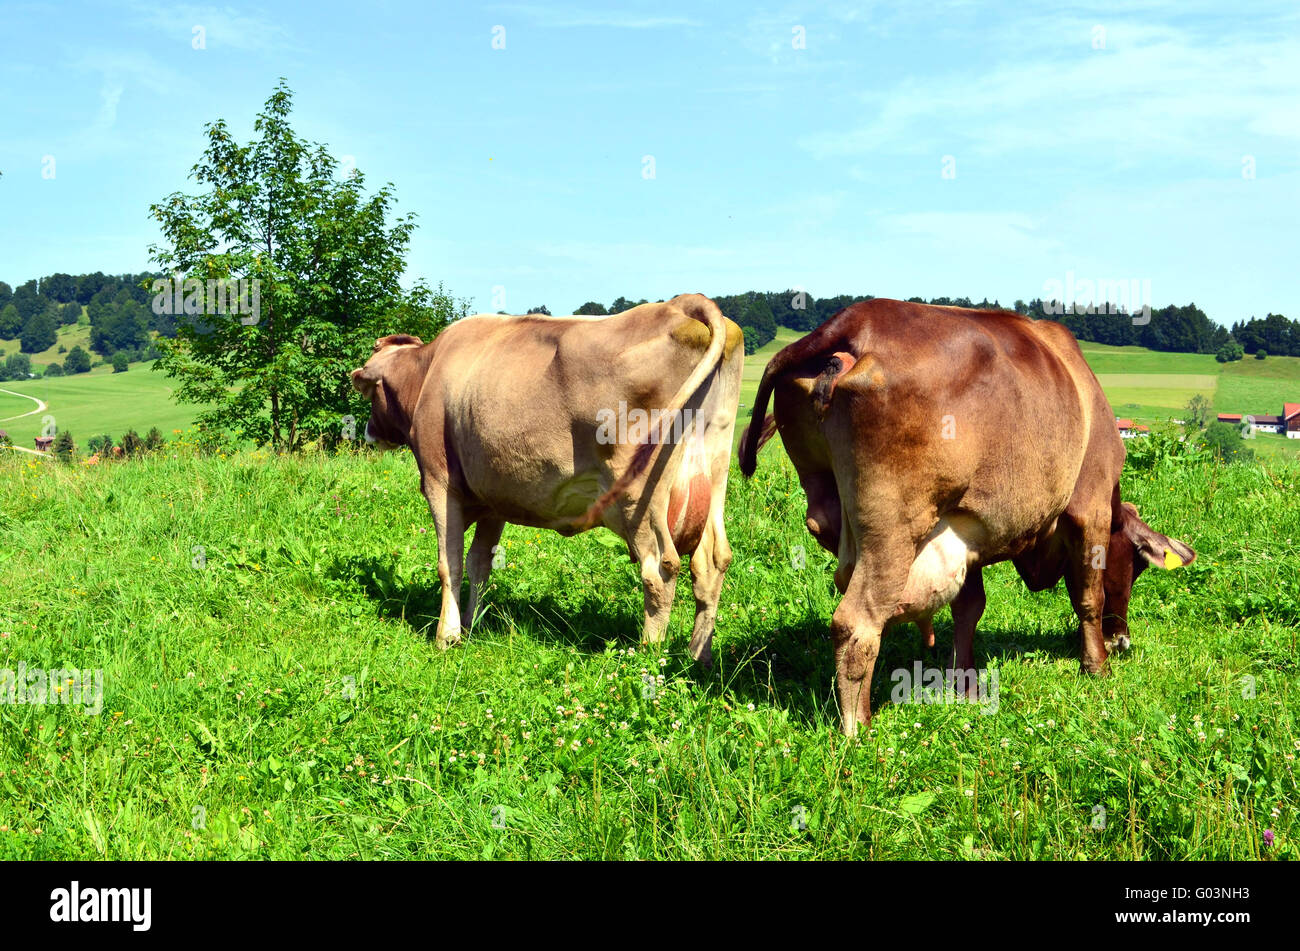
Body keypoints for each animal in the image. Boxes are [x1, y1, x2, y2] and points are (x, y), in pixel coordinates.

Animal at [351, 293, 744, 665]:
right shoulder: (494, 497)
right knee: (711, 562)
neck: (429, 371)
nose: (368, 431)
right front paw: (471, 623)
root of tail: (681, 304)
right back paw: (698, 657)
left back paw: (648, 657)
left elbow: (450, 563)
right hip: (713, 474)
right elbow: (480, 564)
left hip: (640, 496)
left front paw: (447, 636)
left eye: (371, 394)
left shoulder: (438, 482)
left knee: (660, 567)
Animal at [739, 298, 1195, 736]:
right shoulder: (1091, 505)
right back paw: (858, 728)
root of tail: (849, 323)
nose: (1122, 641)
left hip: (833, 505)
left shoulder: (963, 530)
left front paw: (966, 685)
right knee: (854, 624)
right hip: (892, 530)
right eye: (1136, 565)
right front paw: (1096, 665)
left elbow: (969, 608)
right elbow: (1088, 595)